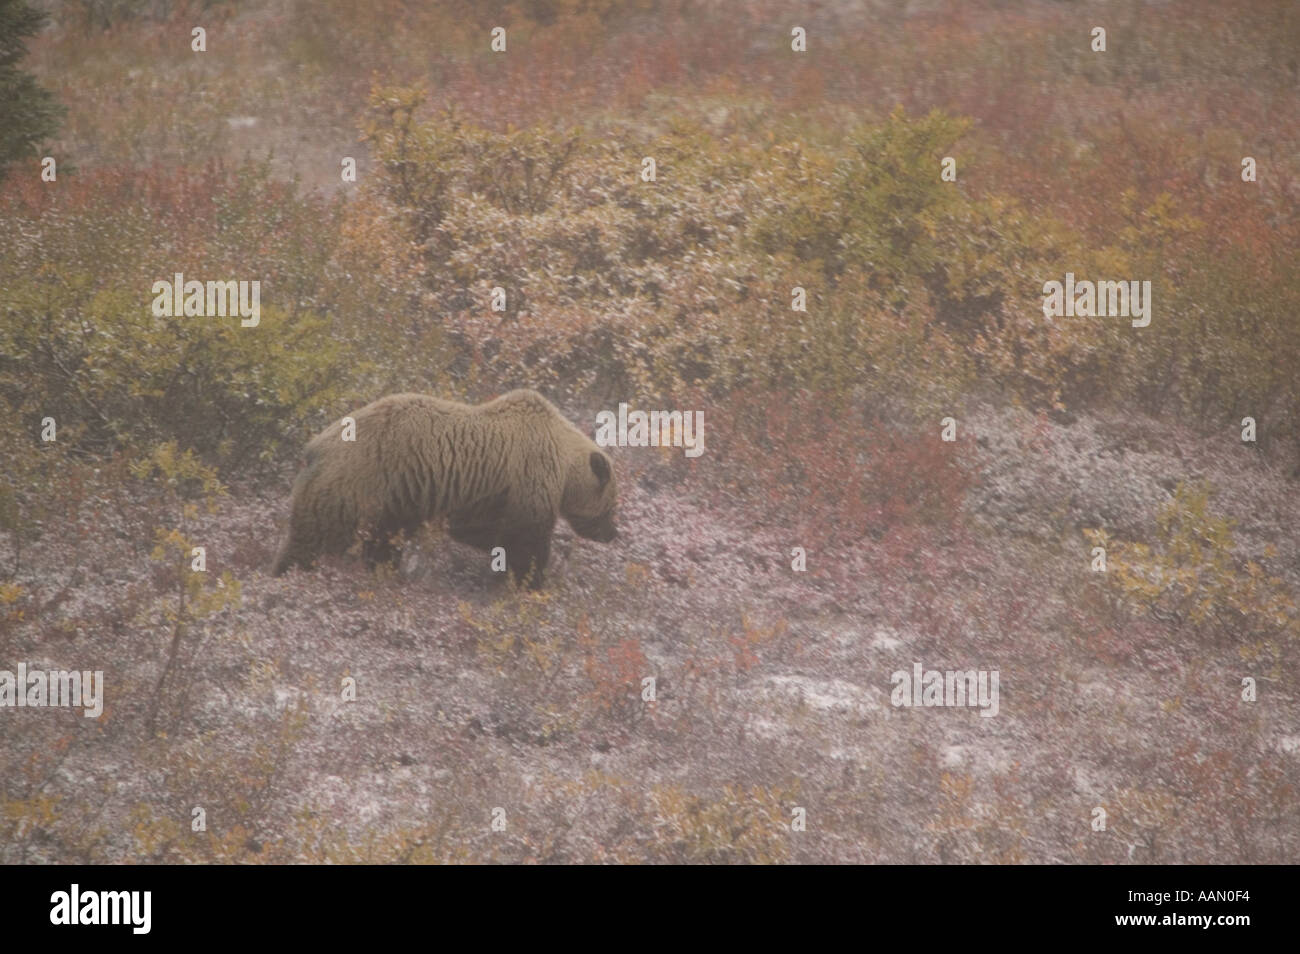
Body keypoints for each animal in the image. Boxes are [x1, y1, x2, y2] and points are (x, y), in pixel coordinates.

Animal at [270, 389, 618, 588]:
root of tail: (315, 446)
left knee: (381, 543)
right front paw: (533, 579)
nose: (613, 534)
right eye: (613, 505)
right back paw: (286, 573)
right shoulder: (528, 480)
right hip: (356, 485)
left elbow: (482, 530)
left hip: (391, 501)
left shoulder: (488, 493)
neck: (564, 466)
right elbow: (523, 542)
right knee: (315, 538)